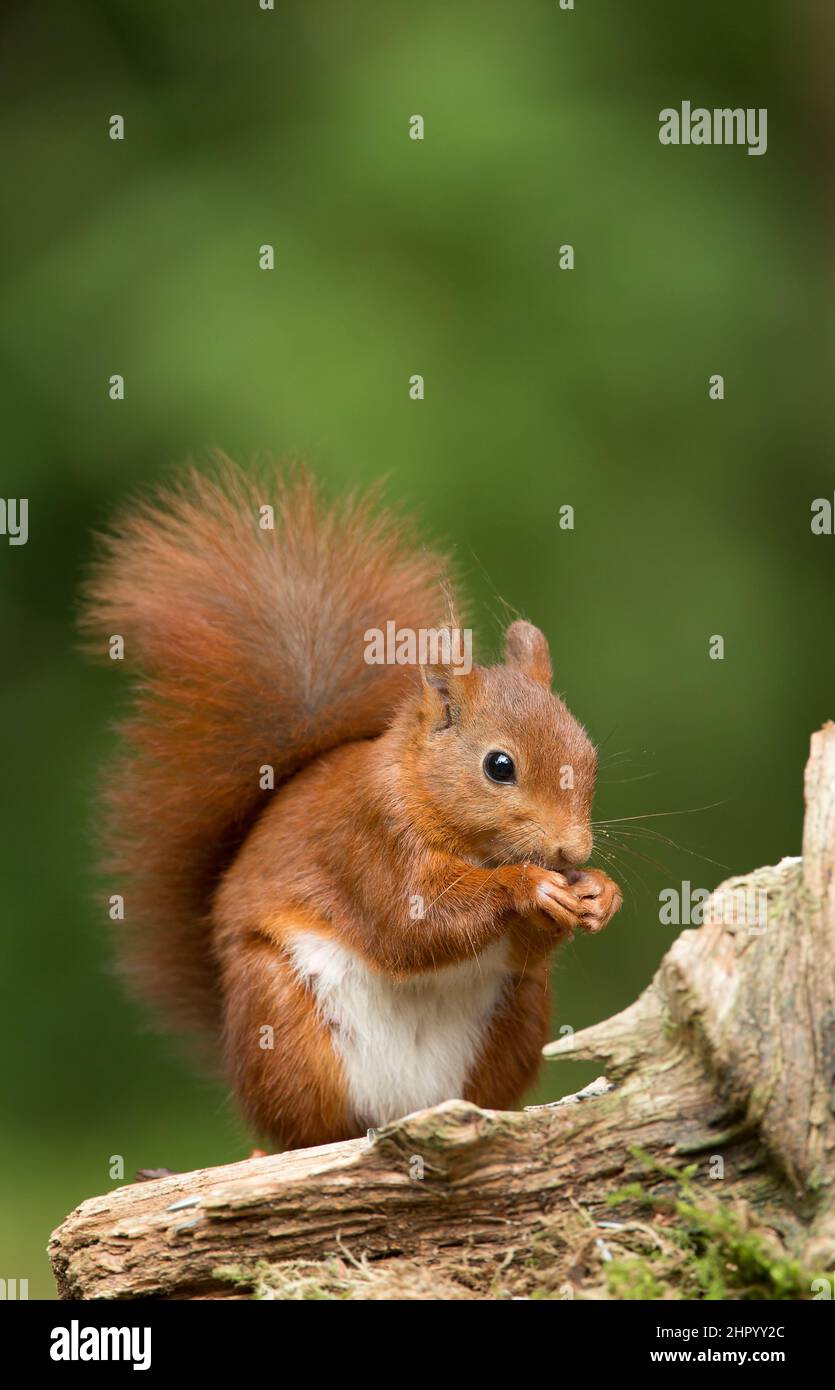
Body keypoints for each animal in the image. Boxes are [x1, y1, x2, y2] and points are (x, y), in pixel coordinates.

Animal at [80, 459, 622, 1151]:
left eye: (590, 756)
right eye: (499, 766)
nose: (571, 850)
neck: (425, 794)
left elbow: (517, 946)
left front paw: (599, 891)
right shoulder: (369, 835)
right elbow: (412, 922)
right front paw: (529, 885)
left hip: (517, 1017)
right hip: (280, 1015)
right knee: (303, 1129)